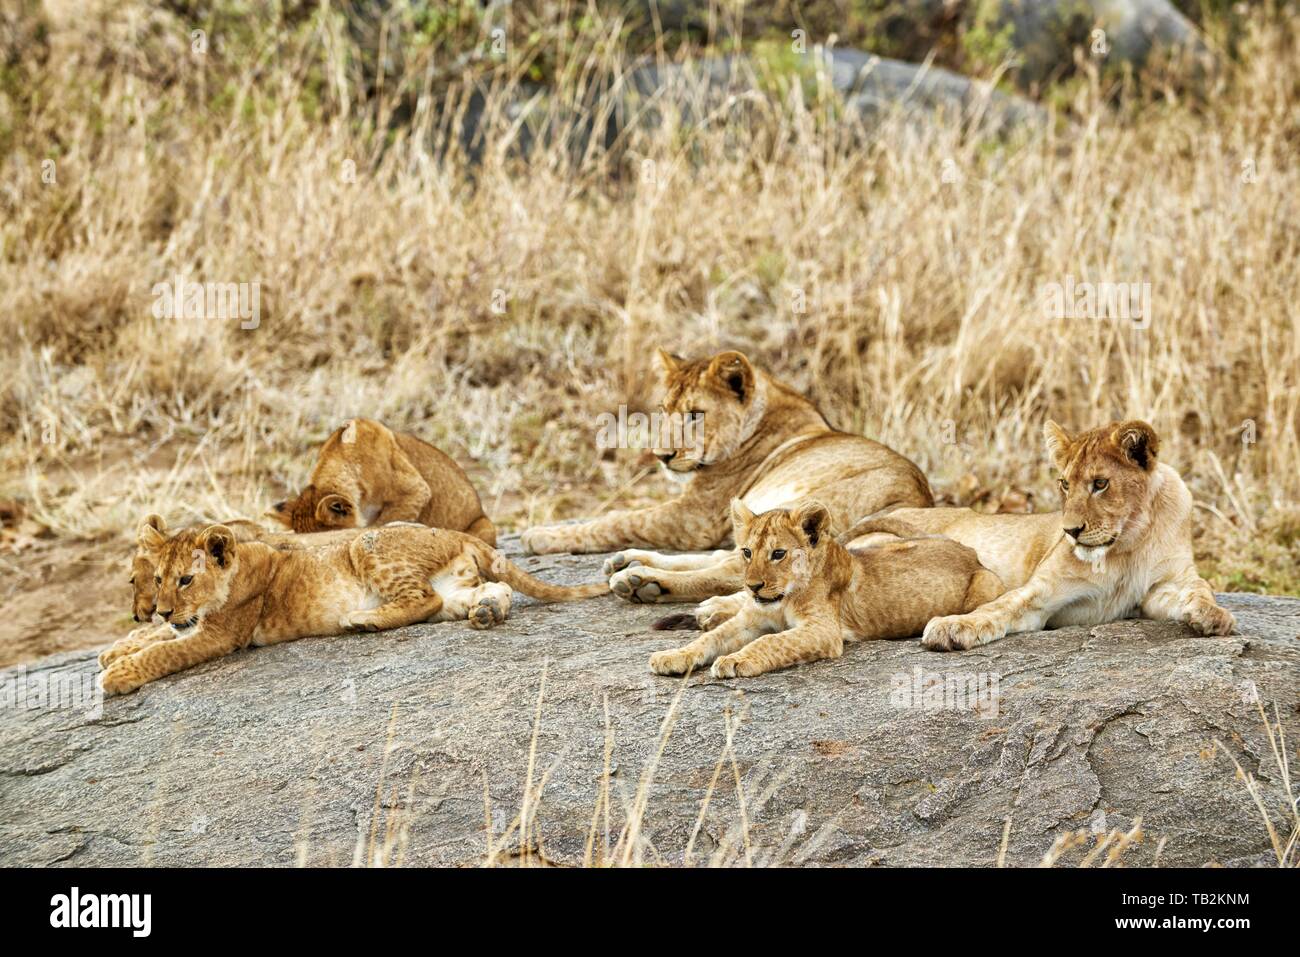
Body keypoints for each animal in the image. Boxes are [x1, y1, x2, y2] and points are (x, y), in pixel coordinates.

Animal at [99, 521, 607, 696]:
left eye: (186, 579)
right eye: (159, 579)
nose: (162, 610)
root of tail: (457, 532)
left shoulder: (222, 635)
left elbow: (165, 651)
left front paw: (118, 673)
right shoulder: (192, 623)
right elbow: (157, 637)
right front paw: (115, 649)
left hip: (365, 544)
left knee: (423, 598)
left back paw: (363, 620)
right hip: (451, 585)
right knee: (469, 594)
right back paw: (485, 611)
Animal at [521, 348, 933, 605]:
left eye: (695, 415)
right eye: (663, 410)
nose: (661, 456)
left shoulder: (697, 516)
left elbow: (618, 519)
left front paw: (541, 535)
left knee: (732, 570)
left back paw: (643, 582)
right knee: (725, 558)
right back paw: (629, 563)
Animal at [647, 499, 1005, 678]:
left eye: (778, 554)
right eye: (747, 552)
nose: (753, 586)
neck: (782, 599)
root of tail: (970, 552)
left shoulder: (823, 631)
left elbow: (770, 642)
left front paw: (735, 661)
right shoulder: (750, 619)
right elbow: (709, 639)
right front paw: (673, 656)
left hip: (987, 586)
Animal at [837, 419, 1236, 651]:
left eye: (1100, 484)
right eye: (1064, 484)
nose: (1070, 531)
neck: (1129, 543)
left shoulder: (1164, 586)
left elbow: (1200, 588)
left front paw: (1214, 617)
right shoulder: (1043, 596)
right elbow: (1001, 606)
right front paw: (953, 627)